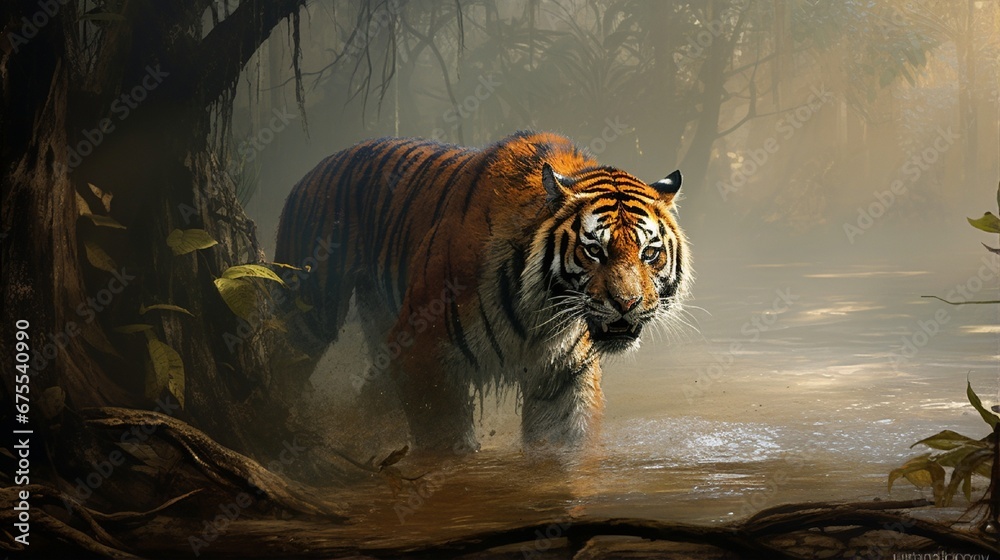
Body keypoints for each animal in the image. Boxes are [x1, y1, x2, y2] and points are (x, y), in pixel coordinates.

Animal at [274, 131, 691, 453]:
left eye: (649, 253)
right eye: (594, 251)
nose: (627, 303)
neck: (543, 312)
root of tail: (313, 169)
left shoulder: (565, 372)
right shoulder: (421, 351)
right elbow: (445, 445)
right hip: (310, 308)